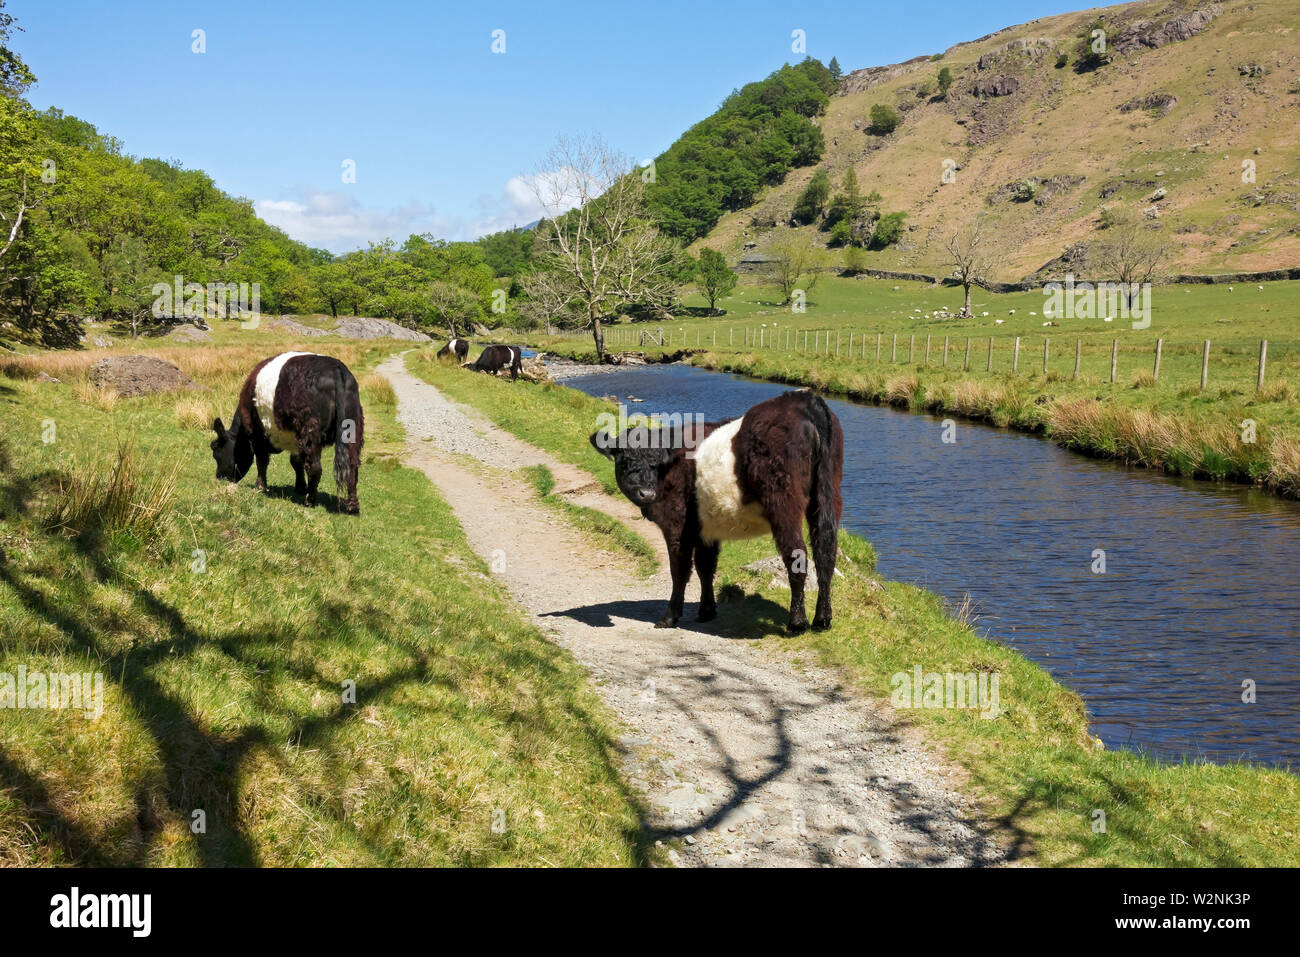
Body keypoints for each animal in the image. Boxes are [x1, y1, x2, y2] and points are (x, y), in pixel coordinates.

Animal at [210, 352, 364, 514]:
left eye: (216, 453)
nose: (219, 477)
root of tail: (336, 369)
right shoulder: (294, 441)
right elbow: (296, 462)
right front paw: (301, 487)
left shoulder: (256, 433)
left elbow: (261, 461)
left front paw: (260, 487)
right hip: (353, 428)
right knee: (352, 466)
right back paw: (352, 505)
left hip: (310, 431)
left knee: (315, 468)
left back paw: (309, 500)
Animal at [591, 390, 843, 634]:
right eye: (623, 462)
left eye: (656, 464)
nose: (646, 493)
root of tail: (804, 400)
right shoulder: (705, 527)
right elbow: (706, 567)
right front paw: (706, 611)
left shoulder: (677, 525)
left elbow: (680, 570)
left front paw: (669, 617)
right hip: (829, 493)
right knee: (825, 552)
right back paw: (822, 620)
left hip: (784, 501)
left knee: (797, 554)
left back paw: (797, 623)